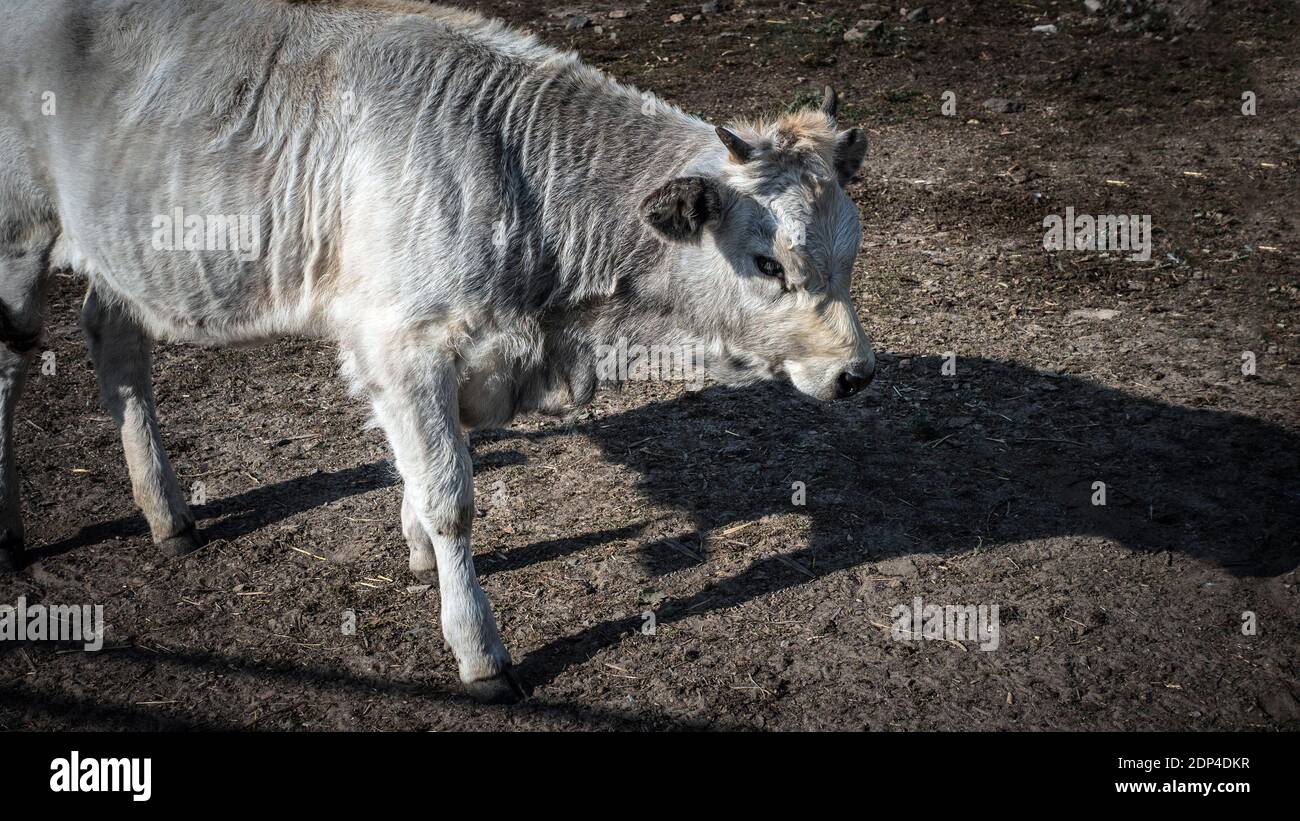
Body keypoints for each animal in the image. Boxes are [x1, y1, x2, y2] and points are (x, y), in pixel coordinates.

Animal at [0, 0, 874, 702]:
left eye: (850, 249)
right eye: (768, 262)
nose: (856, 371)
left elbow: (428, 463)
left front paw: (416, 545)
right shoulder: (402, 342)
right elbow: (451, 491)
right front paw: (479, 649)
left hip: (120, 256)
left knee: (116, 347)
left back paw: (166, 512)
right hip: (17, 237)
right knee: (11, 365)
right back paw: (13, 532)